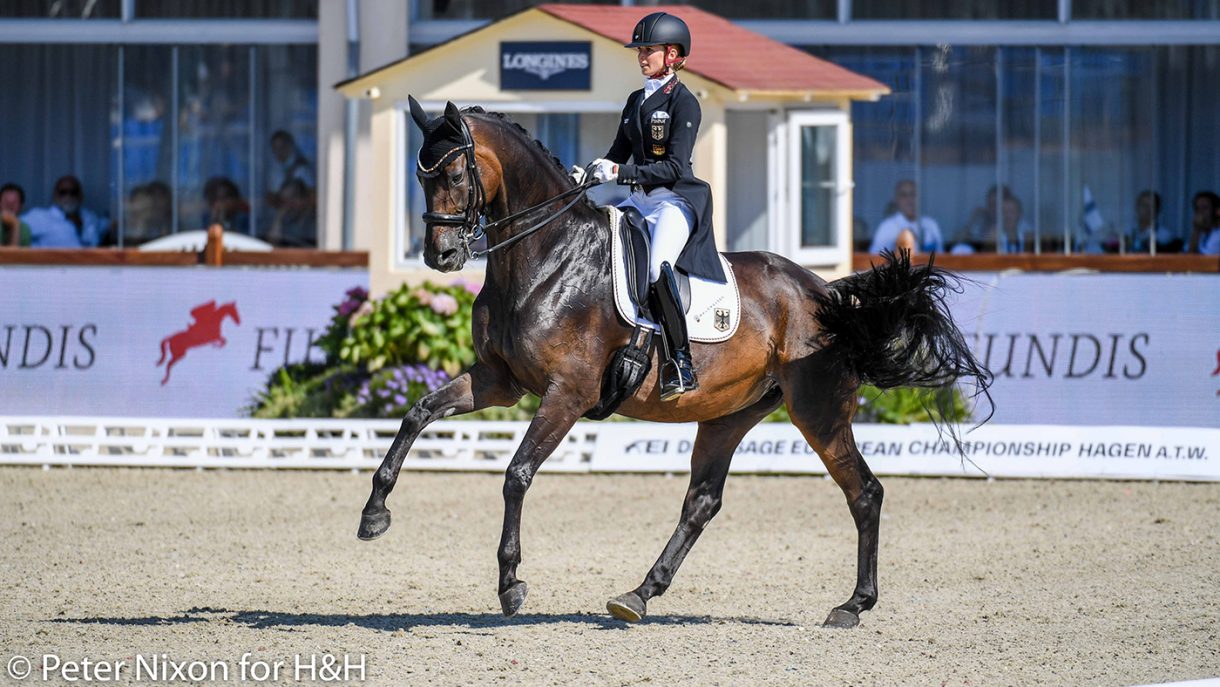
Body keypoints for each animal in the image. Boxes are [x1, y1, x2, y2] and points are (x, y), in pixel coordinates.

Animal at [357, 100, 989, 629]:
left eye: (455, 176)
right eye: (421, 176)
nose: (440, 256)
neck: (546, 258)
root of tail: (825, 293)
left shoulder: (567, 393)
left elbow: (516, 475)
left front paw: (511, 584)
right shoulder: (499, 381)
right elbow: (418, 413)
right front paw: (374, 515)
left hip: (817, 410)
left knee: (864, 493)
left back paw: (853, 605)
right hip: (729, 414)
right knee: (702, 503)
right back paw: (638, 595)